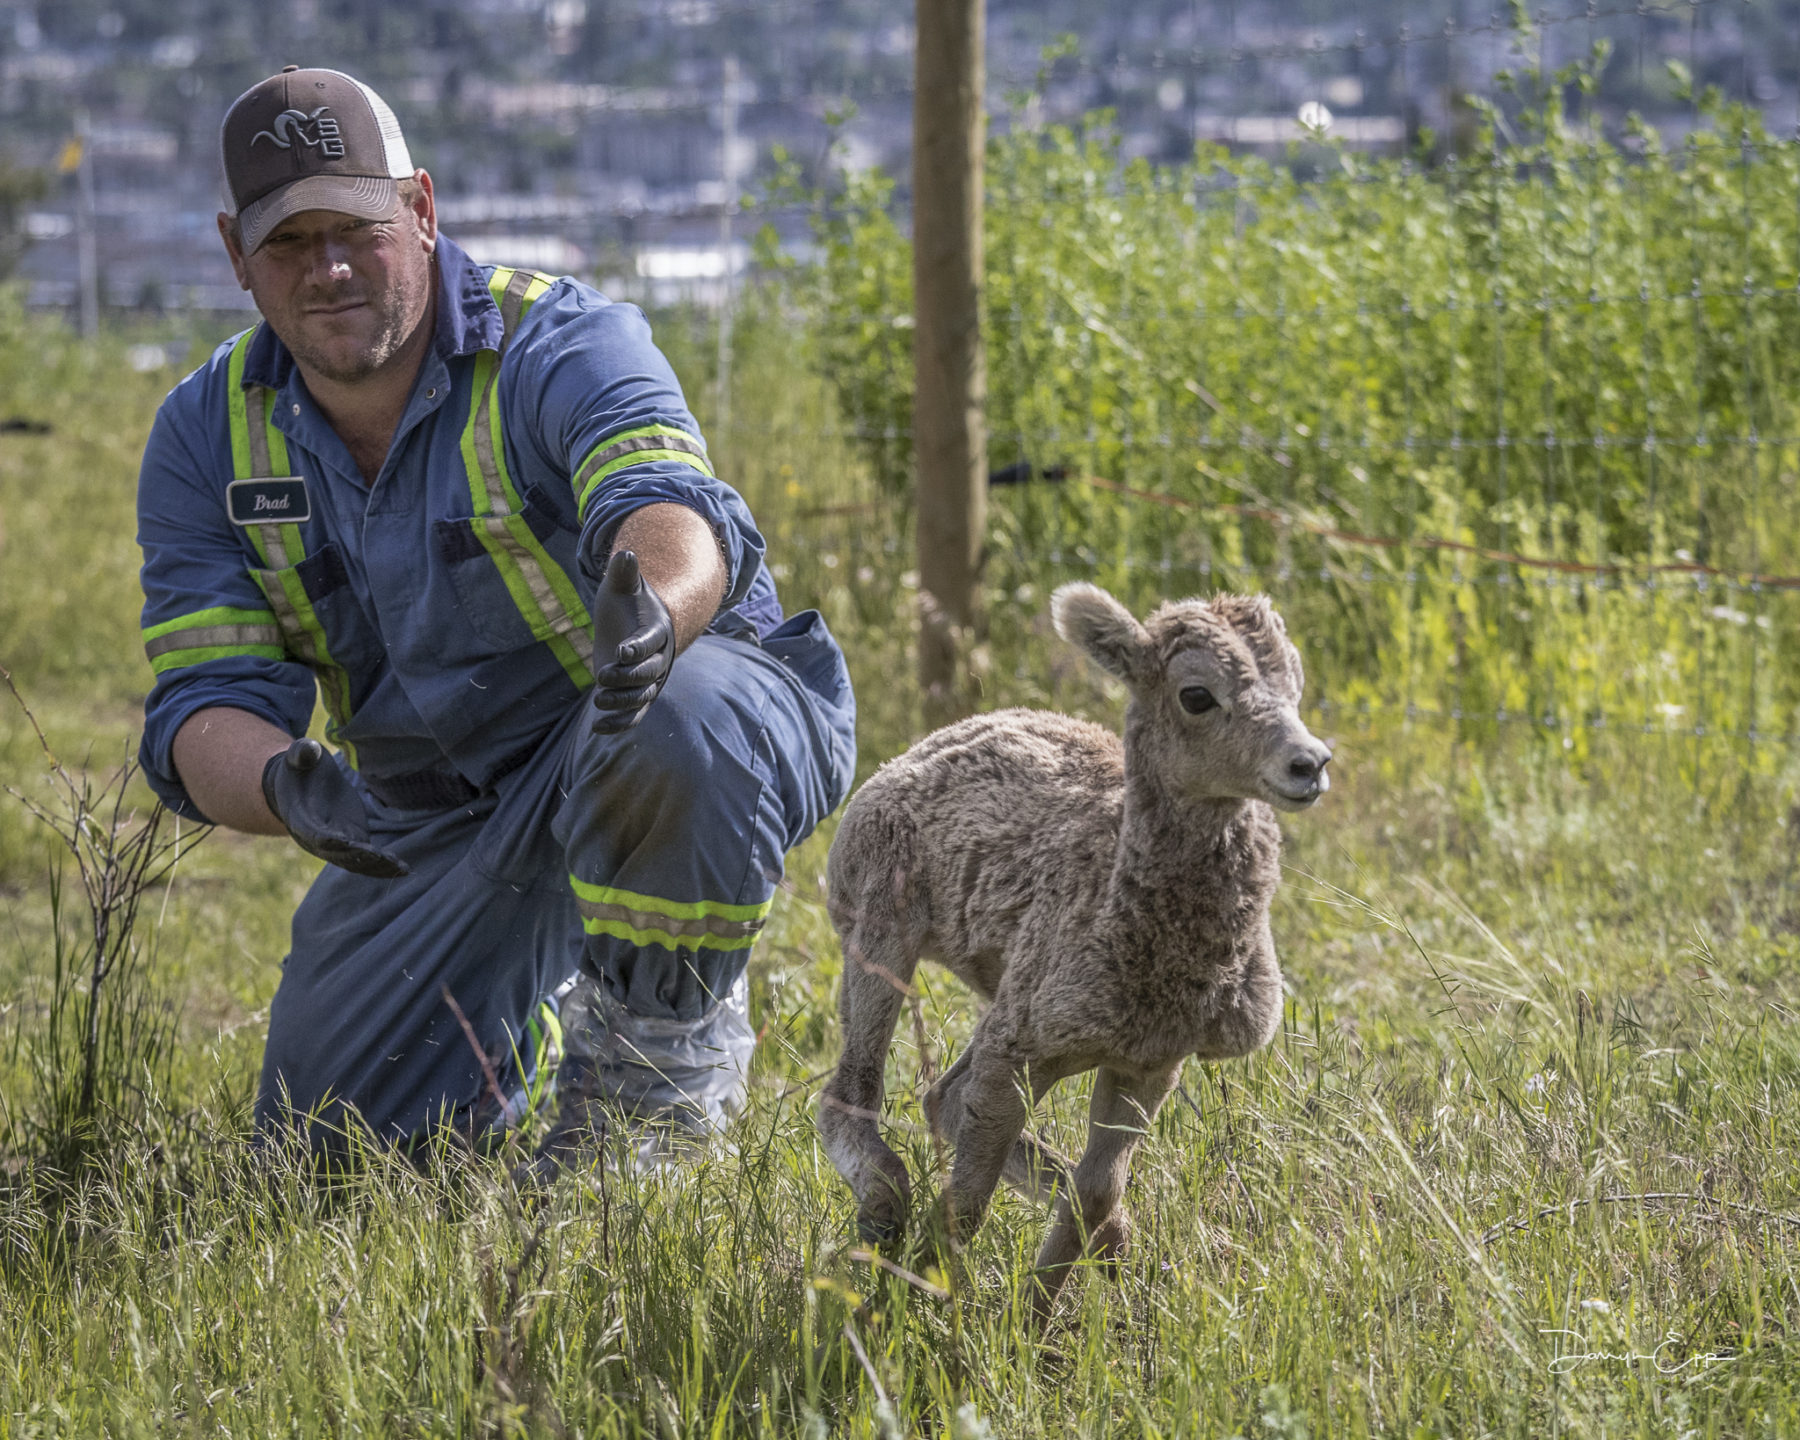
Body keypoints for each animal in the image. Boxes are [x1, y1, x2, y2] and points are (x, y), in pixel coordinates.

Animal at [818, 582, 1331, 1323]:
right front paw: (935, 1308)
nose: (1308, 764)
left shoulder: (1146, 1065)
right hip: (880, 934)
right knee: (854, 1092)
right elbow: (967, 1202)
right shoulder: (1020, 1055)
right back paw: (885, 1213)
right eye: (1196, 695)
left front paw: (1034, 1321)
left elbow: (1093, 1193)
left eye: (1294, 681)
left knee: (942, 1096)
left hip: (1000, 995)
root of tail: (925, 746)